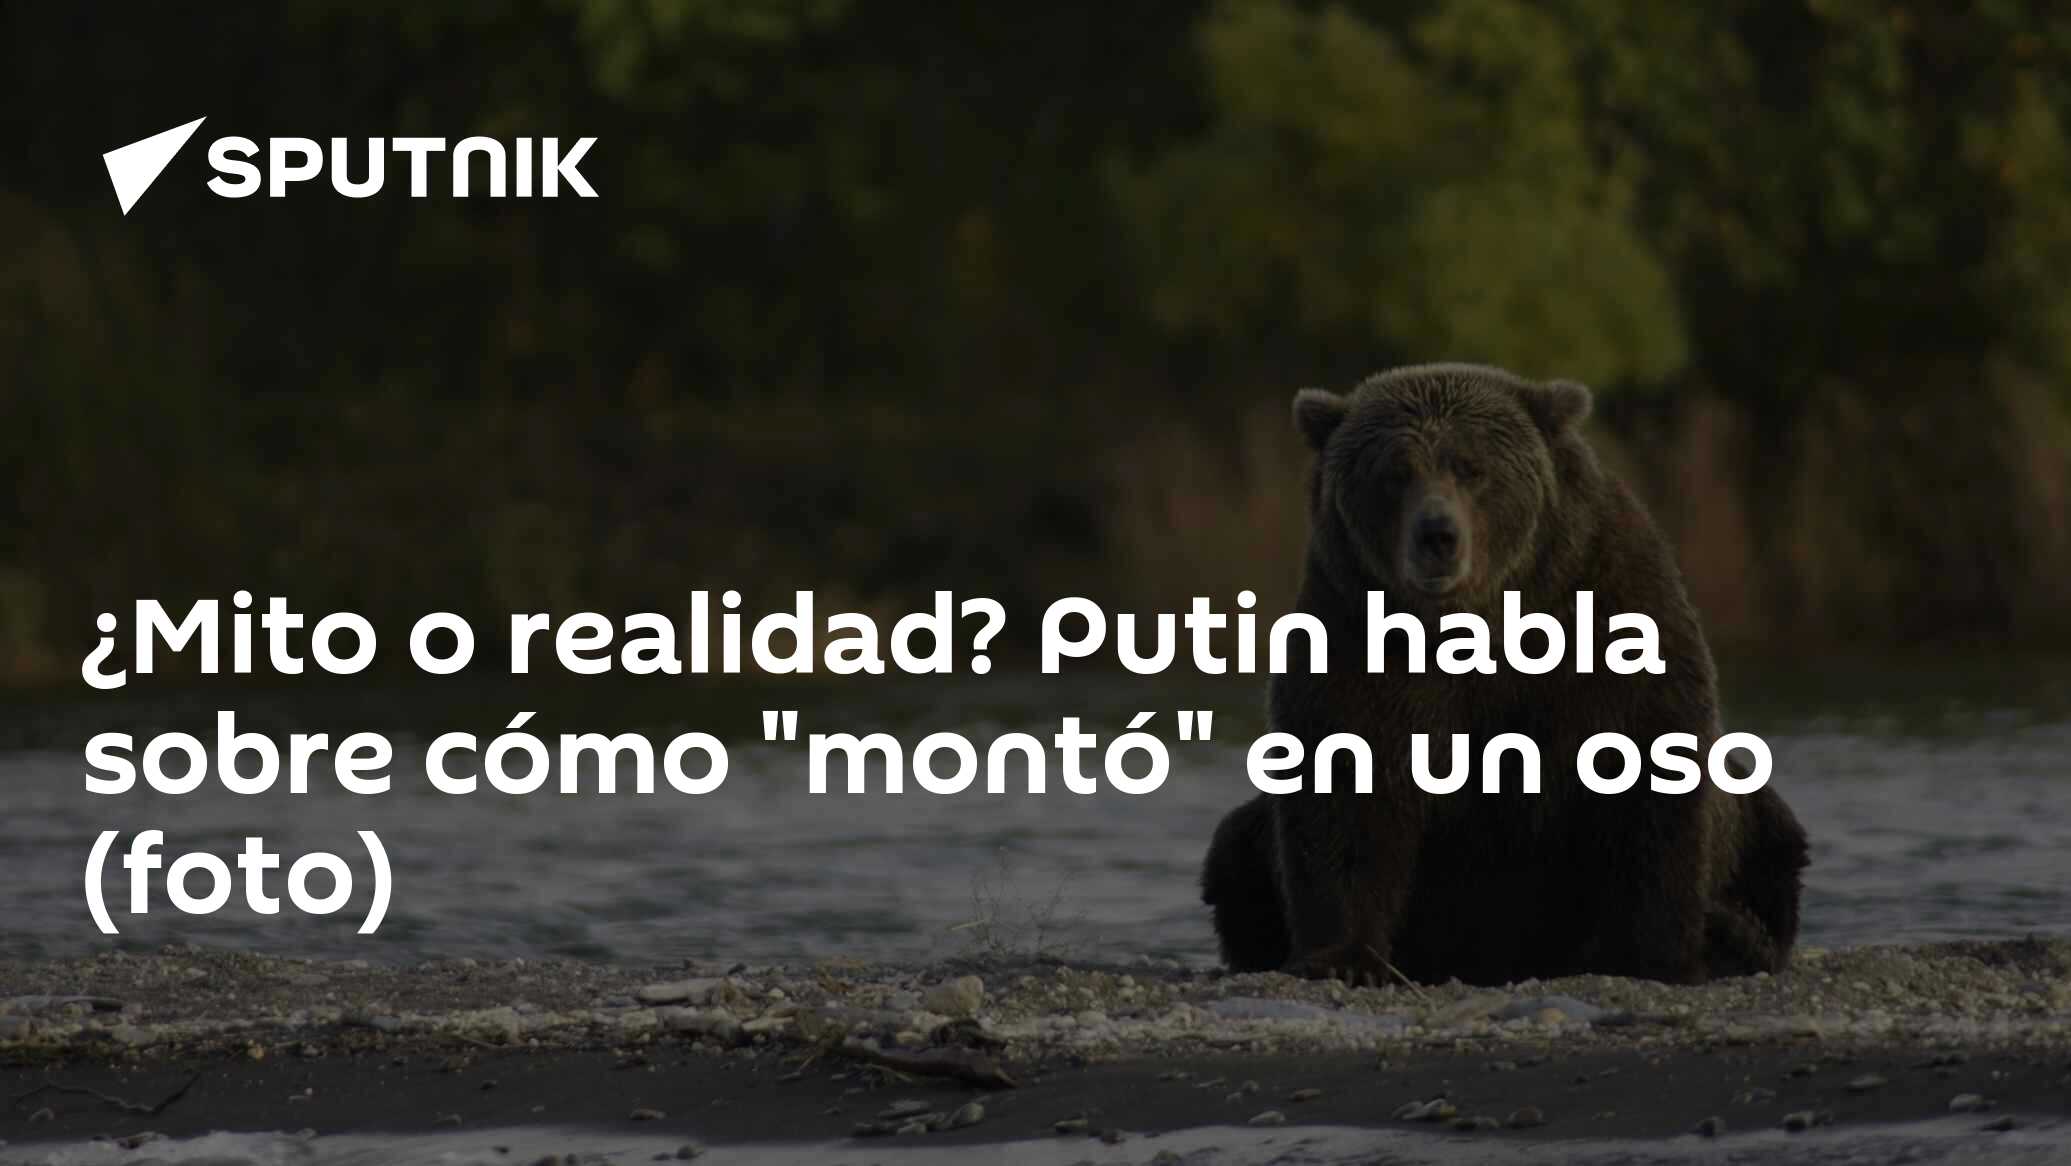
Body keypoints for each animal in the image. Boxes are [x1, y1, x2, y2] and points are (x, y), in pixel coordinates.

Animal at [1200, 363, 1808, 987]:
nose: (1437, 536)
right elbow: (1344, 790)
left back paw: (1734, 934)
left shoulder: (1606, 615)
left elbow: (1647, 773)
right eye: (1395, 472)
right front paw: (1343, 958)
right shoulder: (1353, 638)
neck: (1473, 622)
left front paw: (1653, 955)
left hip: (1755, 825)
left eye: (1472, 467)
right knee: (1234, 849)